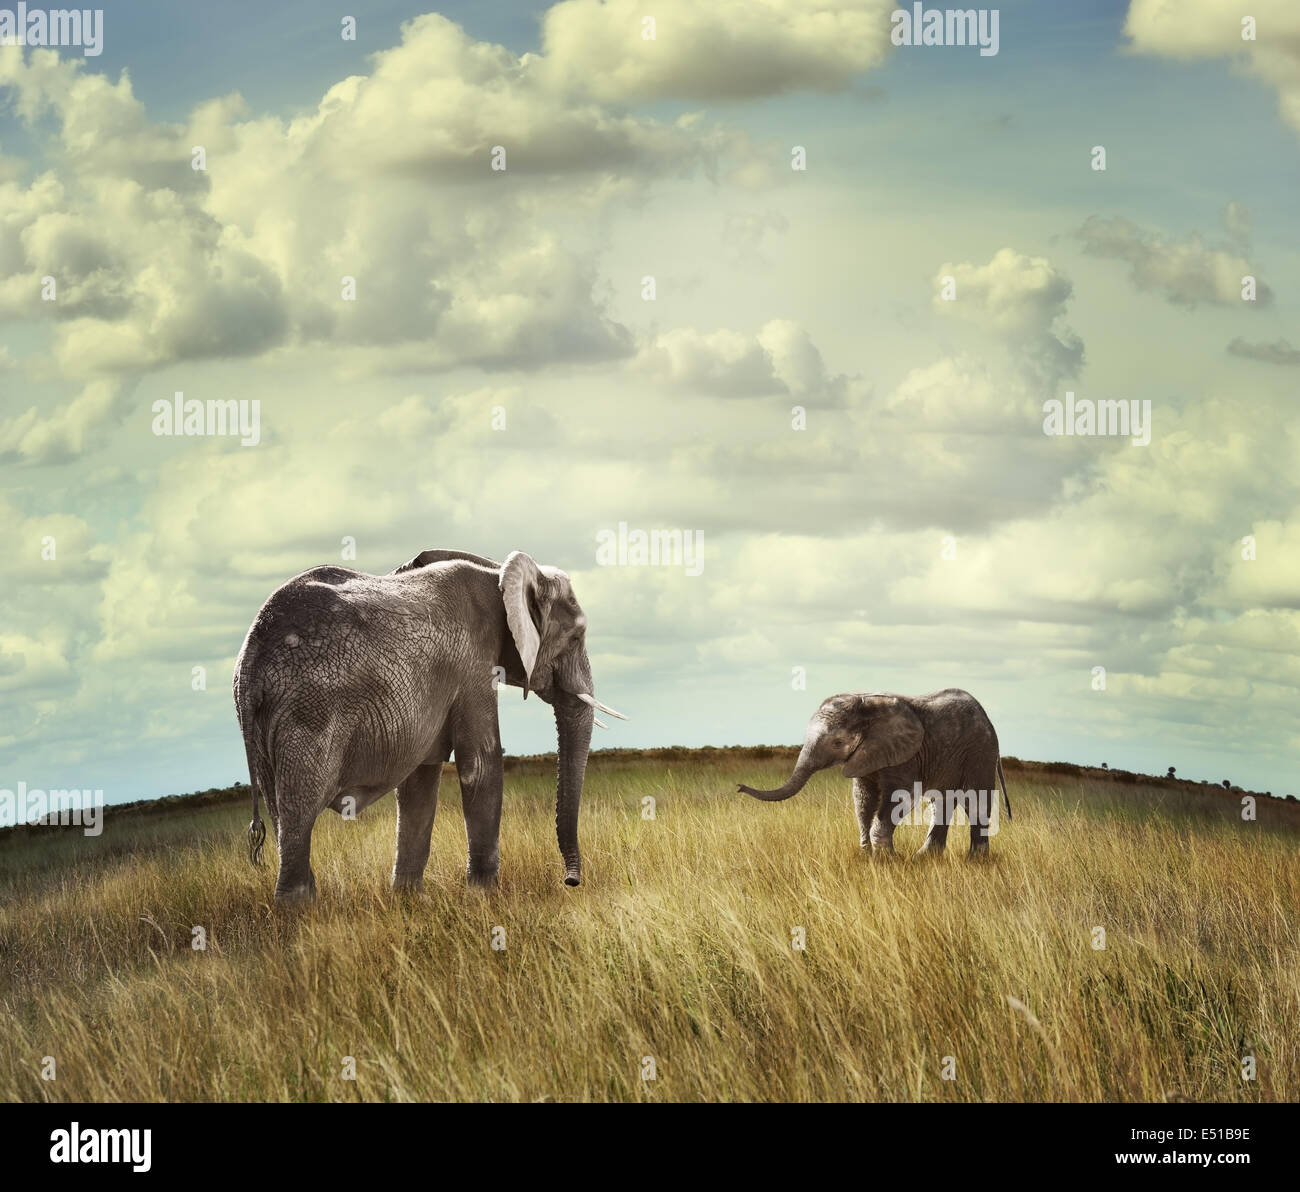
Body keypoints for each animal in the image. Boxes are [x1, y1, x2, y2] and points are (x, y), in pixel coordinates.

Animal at [233, 548, 626, 901]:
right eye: (576, 637)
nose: (571, 881)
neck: (498, 572)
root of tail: (250, 658)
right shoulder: (472, 665)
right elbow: (480, 766)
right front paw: (483, 897)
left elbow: (419, 781)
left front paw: (409, 900)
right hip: (308, 712)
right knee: (300, 809)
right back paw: (299, 912)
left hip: (266, 726)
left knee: (280, 809)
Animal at [737, 688, 1010, 858]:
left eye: (838, 743)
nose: (739, 787)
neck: (864, 702)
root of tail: (987, 718)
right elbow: (863, 799)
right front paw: (867, 855)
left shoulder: (906, 755)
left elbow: (901, 797)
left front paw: (886, 858)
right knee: (941, 801)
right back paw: (924, 857)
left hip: (980, 752)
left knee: (976, 801)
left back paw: (975, 860)